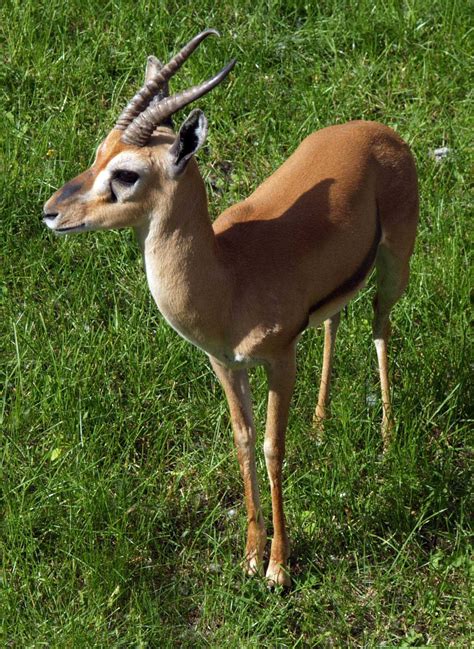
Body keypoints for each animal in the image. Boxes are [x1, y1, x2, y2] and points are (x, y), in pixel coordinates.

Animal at [43, 30, 419, 587]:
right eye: (98, 152)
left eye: (126, 174)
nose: (51, 212)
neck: (228, 279)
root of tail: (379, 130)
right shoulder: (224, 363)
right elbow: (243, 442)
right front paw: (249, 557)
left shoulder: (281, 359)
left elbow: (271, 448)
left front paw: (279, 568)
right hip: (341, 287)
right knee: (336, 317)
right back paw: (321, 424)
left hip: (396, 262)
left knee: (380, 323)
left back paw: (389, 439)